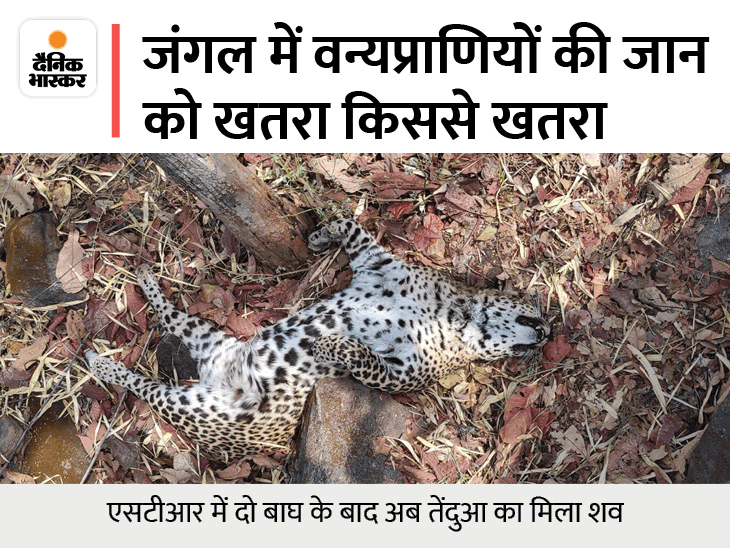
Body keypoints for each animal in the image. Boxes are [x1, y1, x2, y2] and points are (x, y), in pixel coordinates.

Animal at [86, 219, 551, 462]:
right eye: (538, 316)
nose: (546, 333)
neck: (457, 314)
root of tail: (216, 376)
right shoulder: (374, 262)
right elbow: (351, 225)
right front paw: (318, 237)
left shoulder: (401, 375)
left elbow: (364, 359)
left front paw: (328, 346)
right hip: (207, 353)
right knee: (161, 335)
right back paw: (143, 285)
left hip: (200, 384)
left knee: (149, 375)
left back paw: (102, 360)